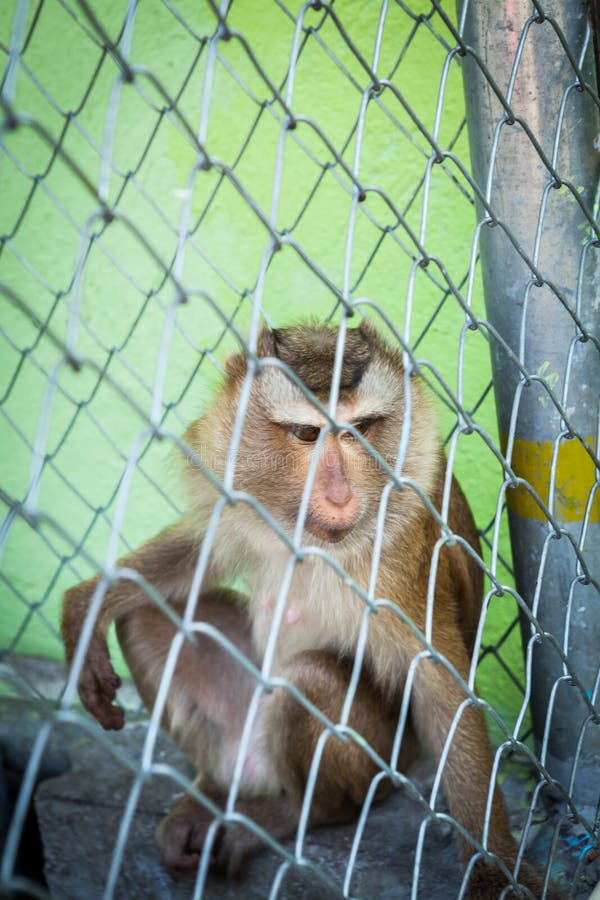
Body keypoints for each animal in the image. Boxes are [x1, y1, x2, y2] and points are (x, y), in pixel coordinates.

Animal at [61, 322, 560, 899]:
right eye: (304, 434)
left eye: (360, 430)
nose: (341, 496)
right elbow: (198, 555)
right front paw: (87, 606)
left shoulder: (403, 555)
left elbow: (440, 687)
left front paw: (493, 868)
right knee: (151, 617)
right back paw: (219, 793)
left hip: (383, 759)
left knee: (309, 679)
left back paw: (295, 813)